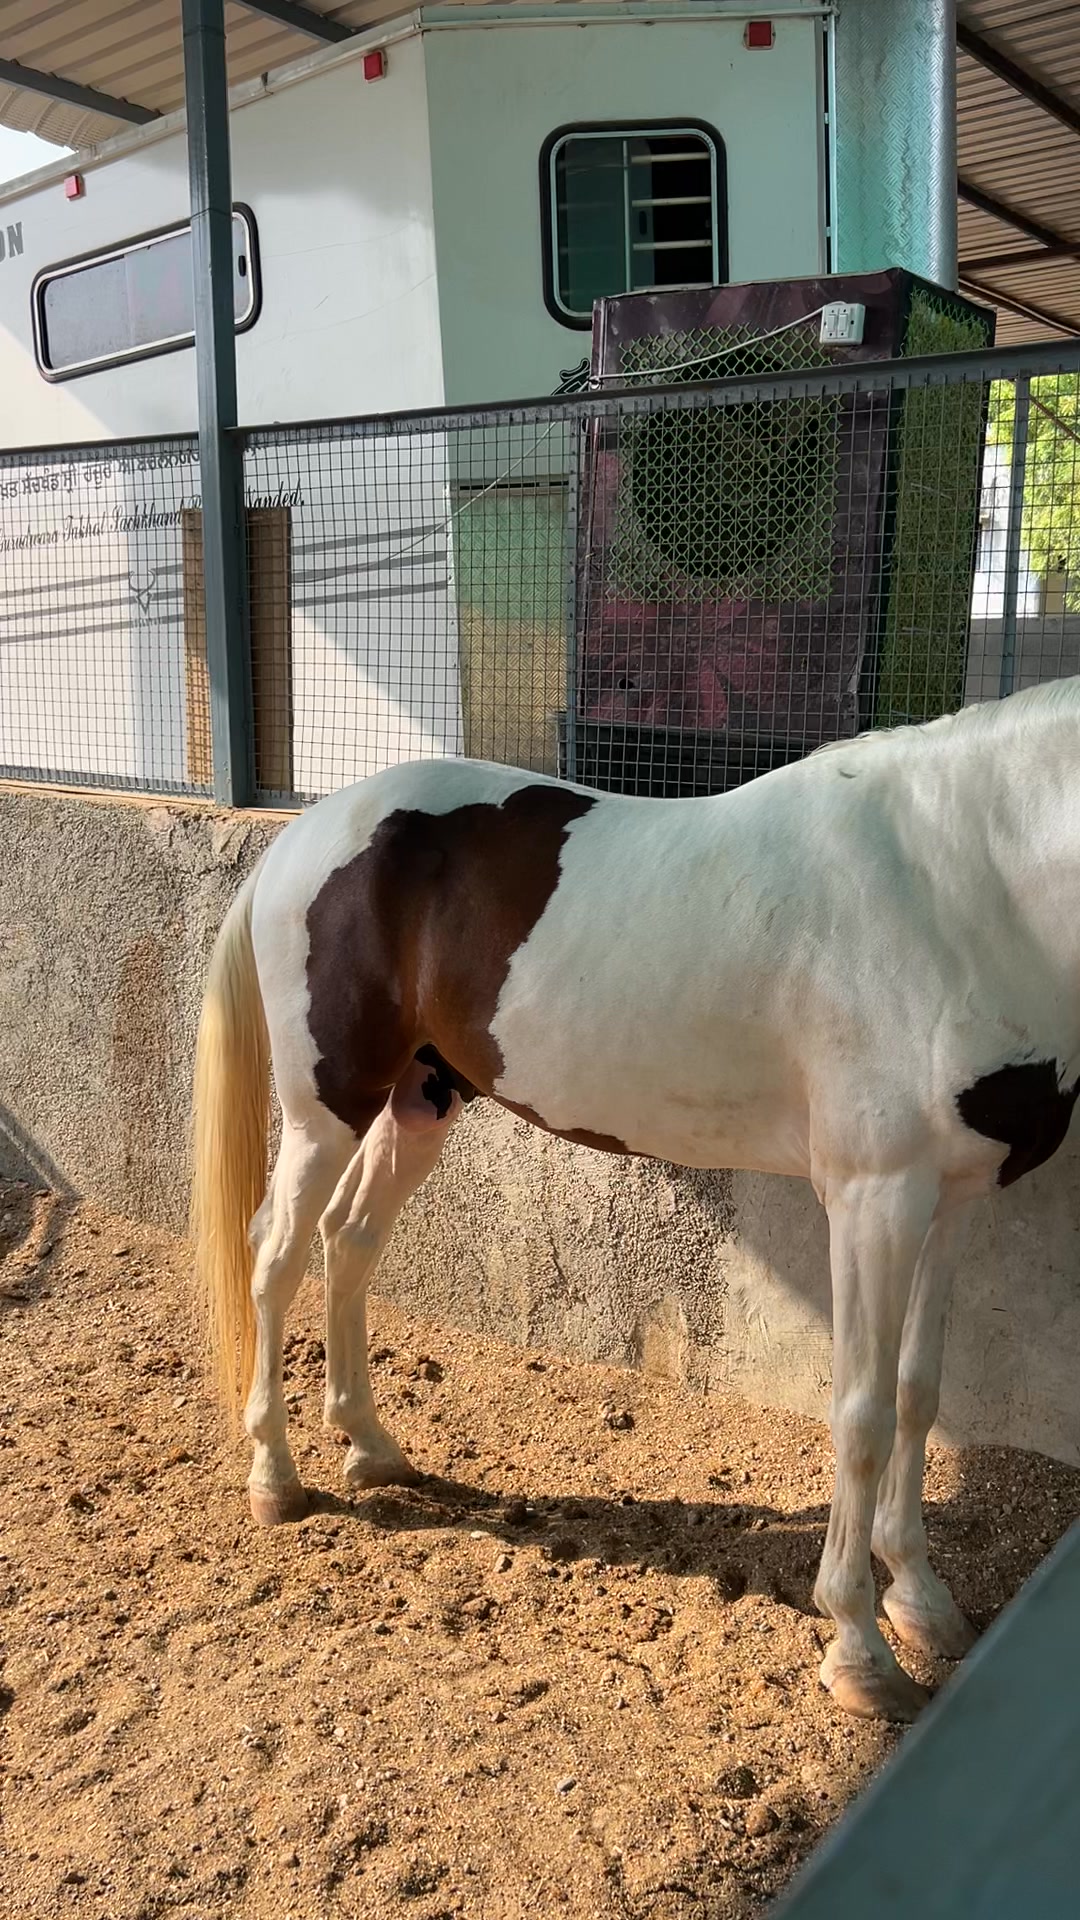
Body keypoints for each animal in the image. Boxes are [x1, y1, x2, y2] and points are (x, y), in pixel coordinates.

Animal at [190, 676, 1080, 1724]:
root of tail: (304, 833)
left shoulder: (951, 1201)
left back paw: (371, 1447)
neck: (957, 886)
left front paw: (924, 1603)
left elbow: (917, 1393)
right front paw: (859, 1651)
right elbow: (860, 1414)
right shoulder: (875, 1201)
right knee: (277, 1256)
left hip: (421, 1098)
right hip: (326, 1106)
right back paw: (276, 1479)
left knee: (351, 1240)